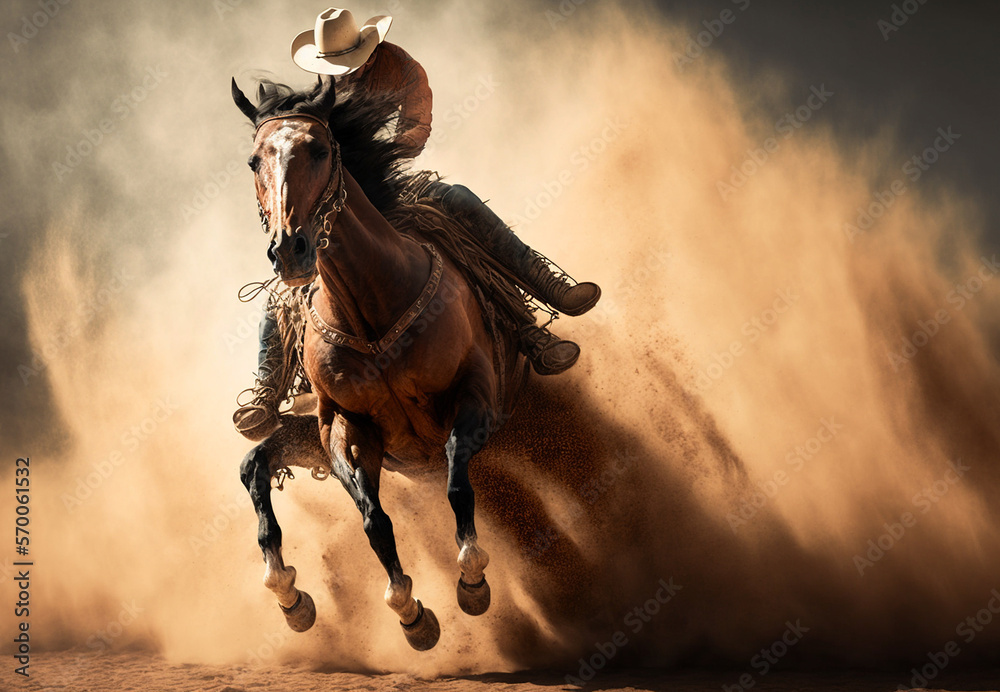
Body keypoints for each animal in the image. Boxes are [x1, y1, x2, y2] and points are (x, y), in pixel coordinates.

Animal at [231, 74, 528, 651]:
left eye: (320, 149)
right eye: (256, 160)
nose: (289, 250)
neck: (370, 312)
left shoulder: (474, 391)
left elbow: (457, 479)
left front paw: (472, 580)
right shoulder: (341, 426)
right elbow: (372, 518)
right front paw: (406, 611)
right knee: (254, 463)